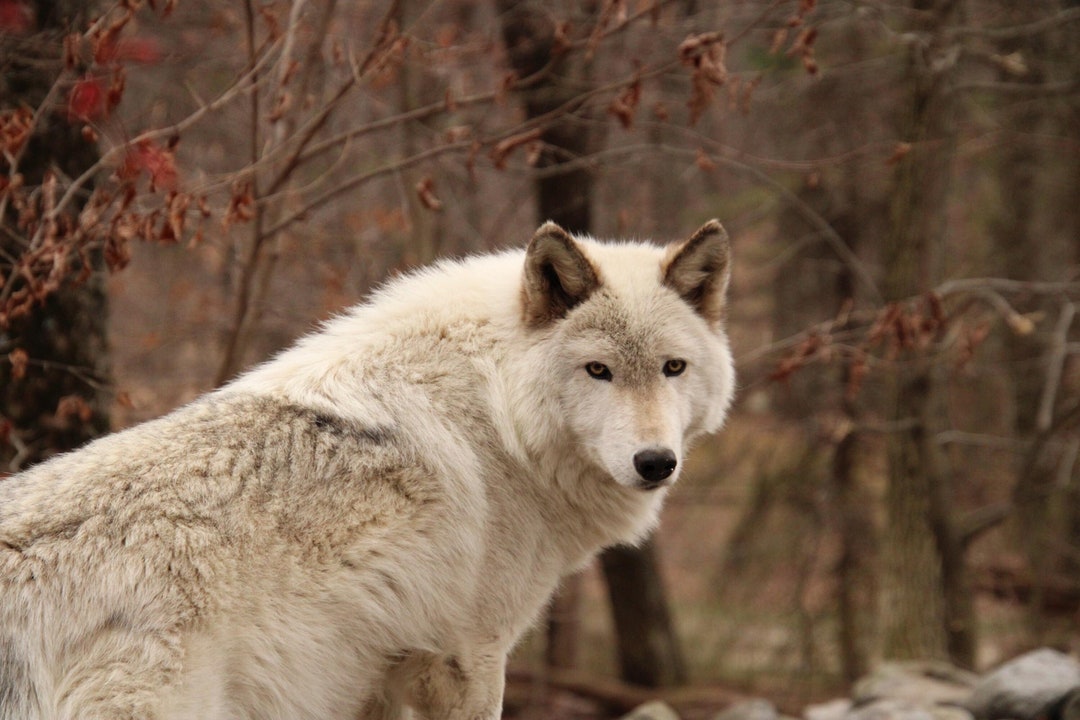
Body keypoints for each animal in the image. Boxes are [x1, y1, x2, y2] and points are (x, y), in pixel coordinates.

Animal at [0, 219, 735, 720]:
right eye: (598, 370)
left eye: (673, 367)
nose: (655, 462)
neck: (501, 414)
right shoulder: (471, 654)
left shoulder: (380, 671)